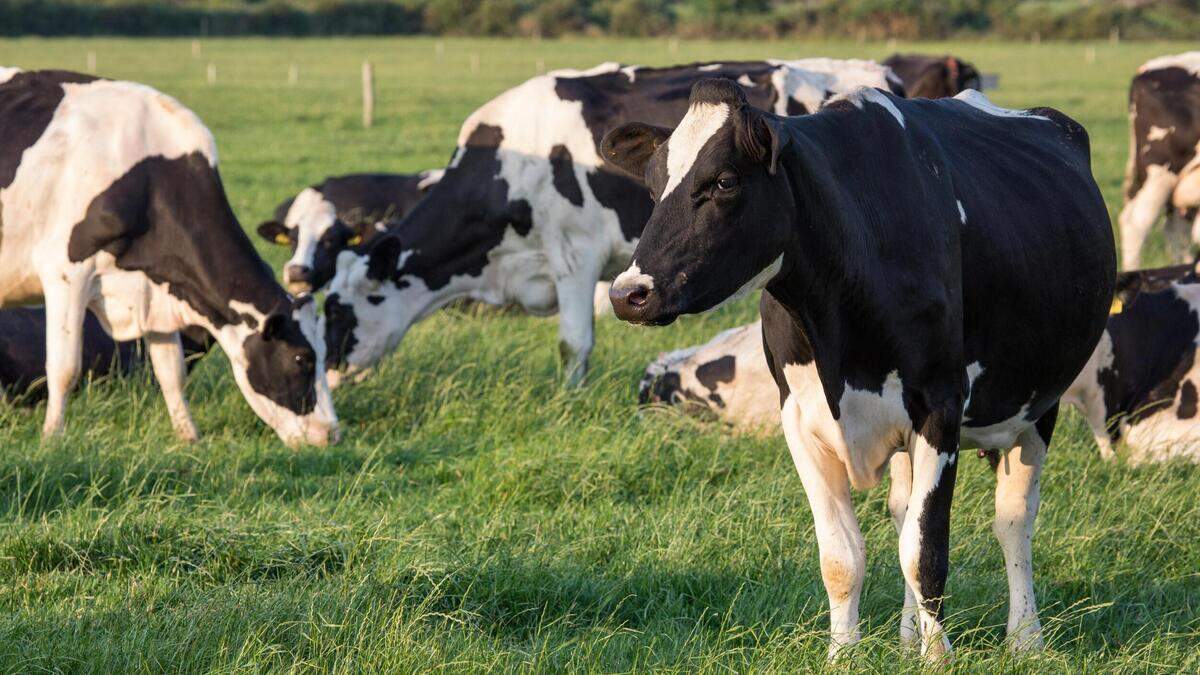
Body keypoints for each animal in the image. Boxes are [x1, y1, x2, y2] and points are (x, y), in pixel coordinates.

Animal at [0, 68, 337, 445]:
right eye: (302, 357)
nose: (331, 433)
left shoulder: (155, 285)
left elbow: (171, 370)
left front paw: (189, 436)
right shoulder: (65, 270)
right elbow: (63, 366)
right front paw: (52, 437)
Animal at [602, 80, 1115, 658]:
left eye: (724, 181)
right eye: (651, 186)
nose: (627, 294)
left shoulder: (940, 406)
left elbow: (925, 554)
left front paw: (938, 659)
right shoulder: (800, 419)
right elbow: (843, 557)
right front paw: (844, 655)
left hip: (1039, 403)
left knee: (1013, 520)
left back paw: (1025, 638)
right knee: (904, 512)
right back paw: (907, 639)